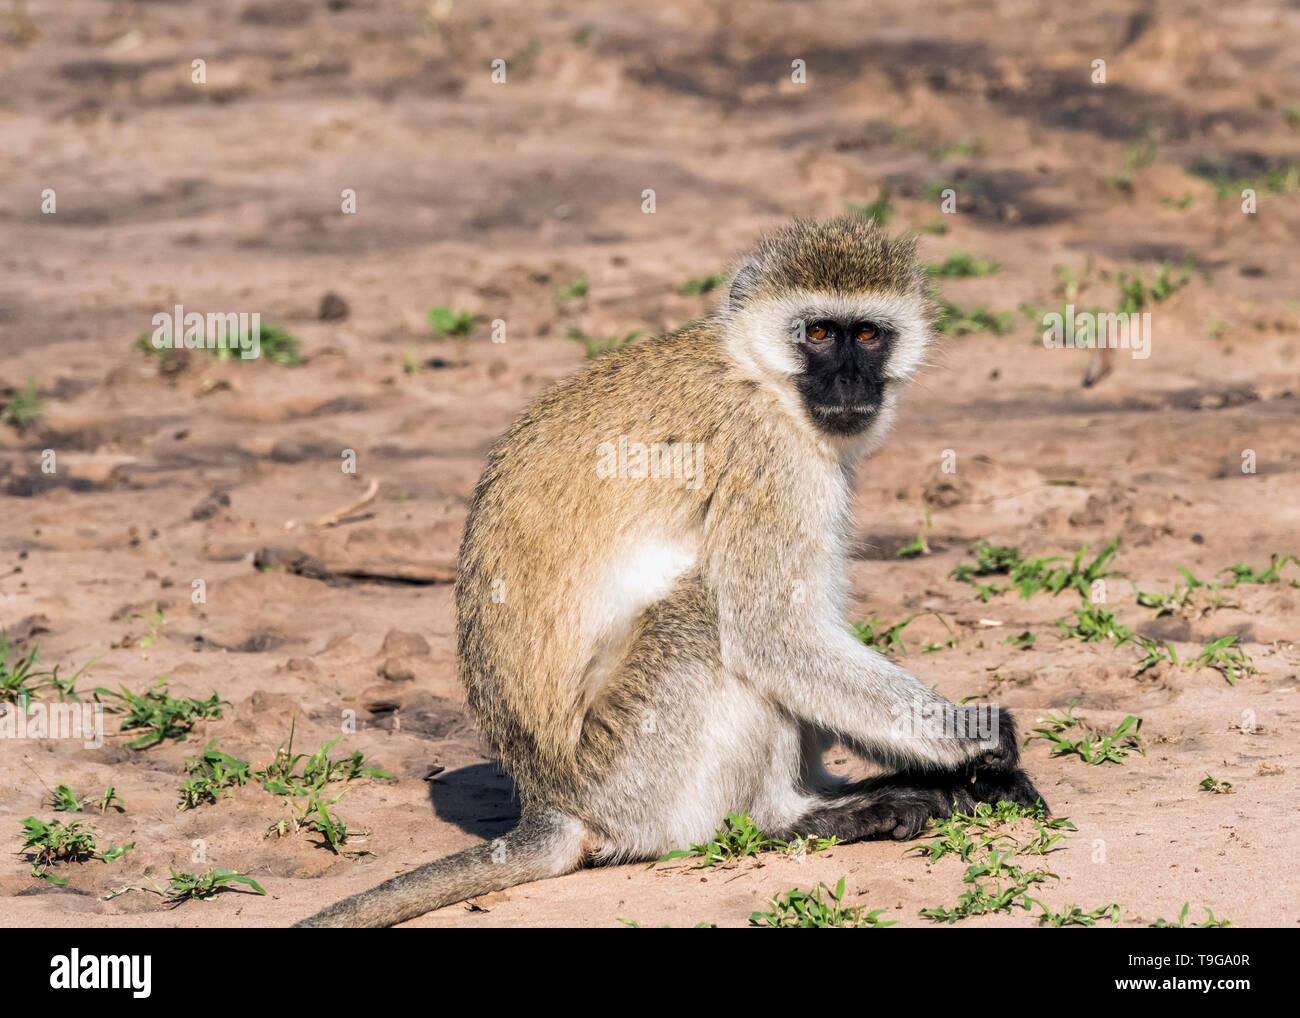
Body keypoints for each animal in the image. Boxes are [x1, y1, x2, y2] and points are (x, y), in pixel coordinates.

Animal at [296, 216, 1045, 928]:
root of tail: (553, 801)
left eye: (866, 335)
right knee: (708, 621)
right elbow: (775, 638)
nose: (849, 383)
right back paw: (798, 815)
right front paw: (979, 738)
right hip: (634, 775)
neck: (756, 374)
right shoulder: (770, 456)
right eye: (818, 333)